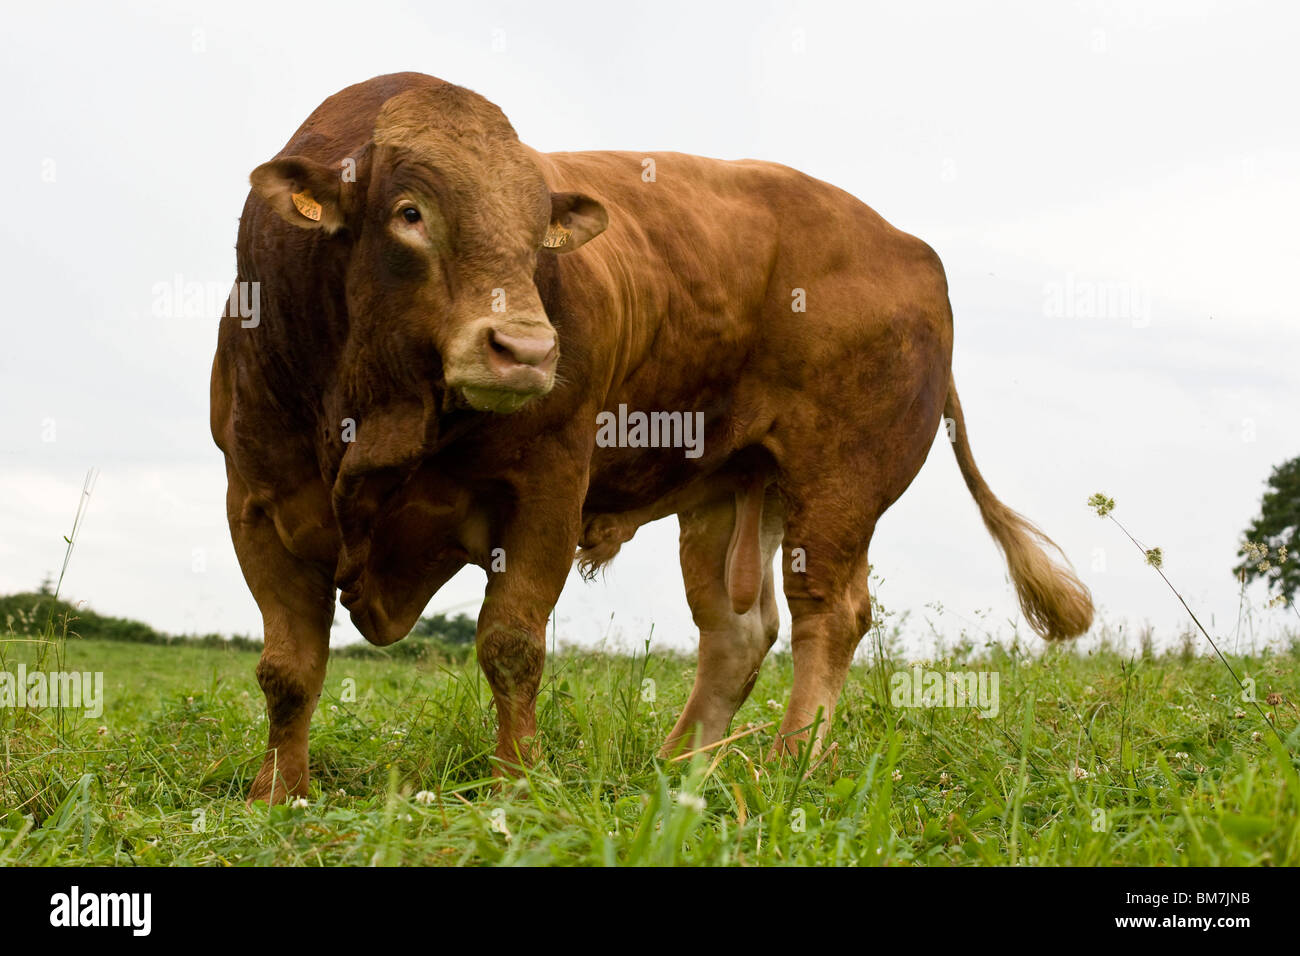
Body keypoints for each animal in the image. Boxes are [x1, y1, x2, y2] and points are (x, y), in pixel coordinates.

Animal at [211, 72, 1093, 804]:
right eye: (409, 213)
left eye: (536, 234)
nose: (527, 350)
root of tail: (909, 248)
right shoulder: (255, 500)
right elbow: (288, 668)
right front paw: (276, 794)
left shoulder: (547, 492)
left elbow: (511, 644)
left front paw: (517, 784)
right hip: (731, 492)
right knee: (737, 633)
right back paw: (677, 768)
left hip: (839, 483)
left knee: (828, 615)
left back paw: (790, 762)